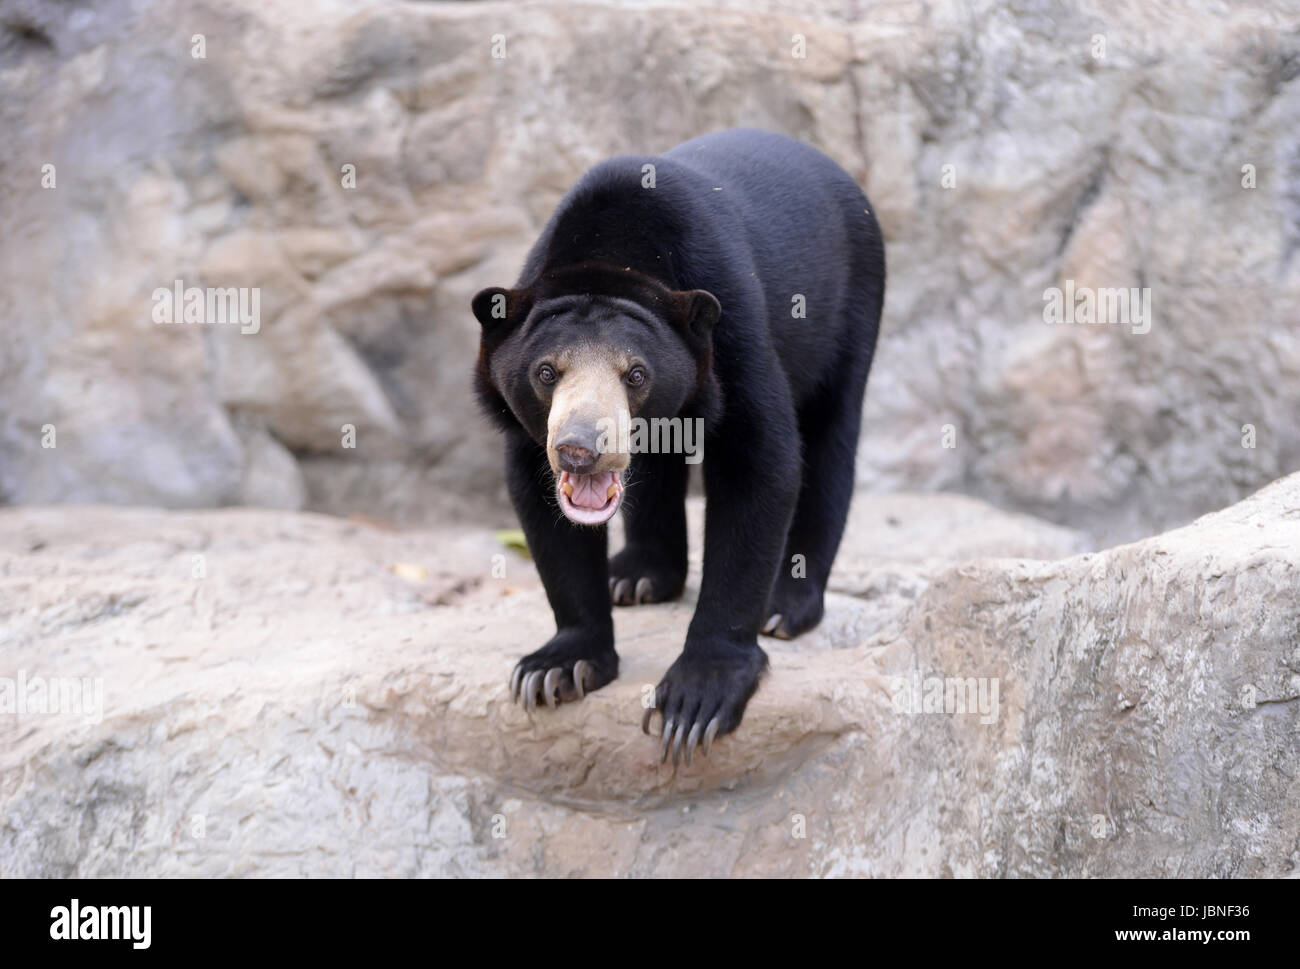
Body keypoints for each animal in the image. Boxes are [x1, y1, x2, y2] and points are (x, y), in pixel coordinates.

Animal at [472, 128, 884, 765]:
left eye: (636, 374)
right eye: (545, 372)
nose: (579, 449)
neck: (615, 255)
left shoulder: (731, 327)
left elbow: (759, 465)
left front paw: (696, 701)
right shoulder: (526, 426)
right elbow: (542, 505)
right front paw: (555, 669)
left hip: (850, 305)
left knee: (830, 442)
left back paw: (786, 606)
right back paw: (636, 578)